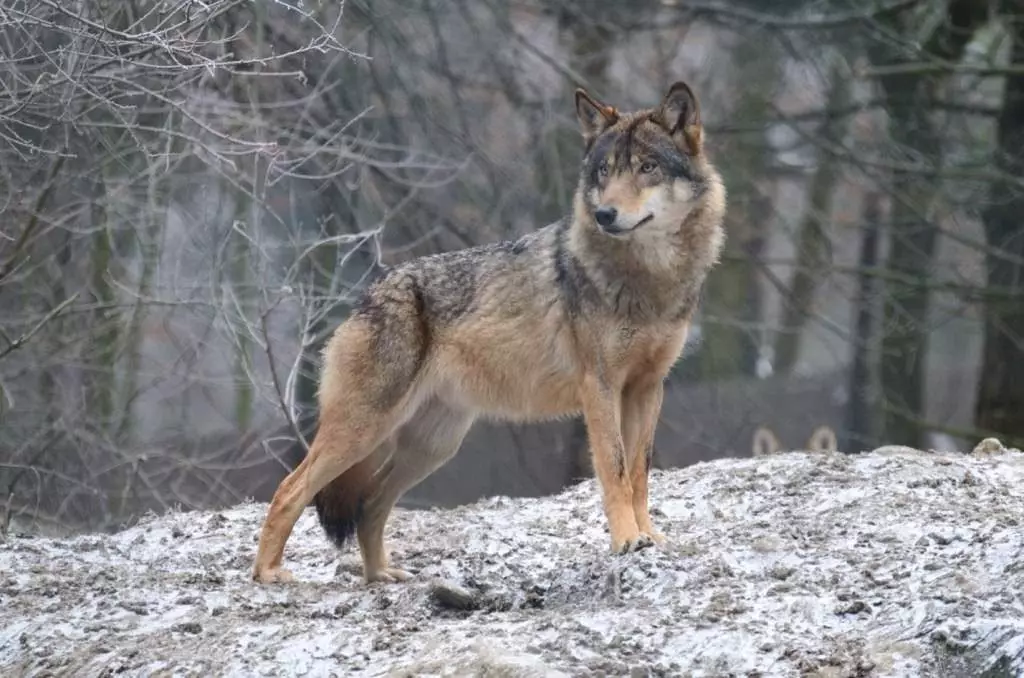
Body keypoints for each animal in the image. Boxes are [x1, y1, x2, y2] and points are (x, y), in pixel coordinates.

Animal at [250, 80, 724, 585]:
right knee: (289, 488)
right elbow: (614, 470)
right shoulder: (600, 388)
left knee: (370, 505)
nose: (605, 215)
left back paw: (382, 575)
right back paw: (268, 573)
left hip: (432, 447)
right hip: (363, 431)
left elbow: (638, 472)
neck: (647, 279)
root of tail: (369, 293)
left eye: (647, 168)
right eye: (604, 171)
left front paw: (649, 538)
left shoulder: (647, 387)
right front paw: (627, 542)